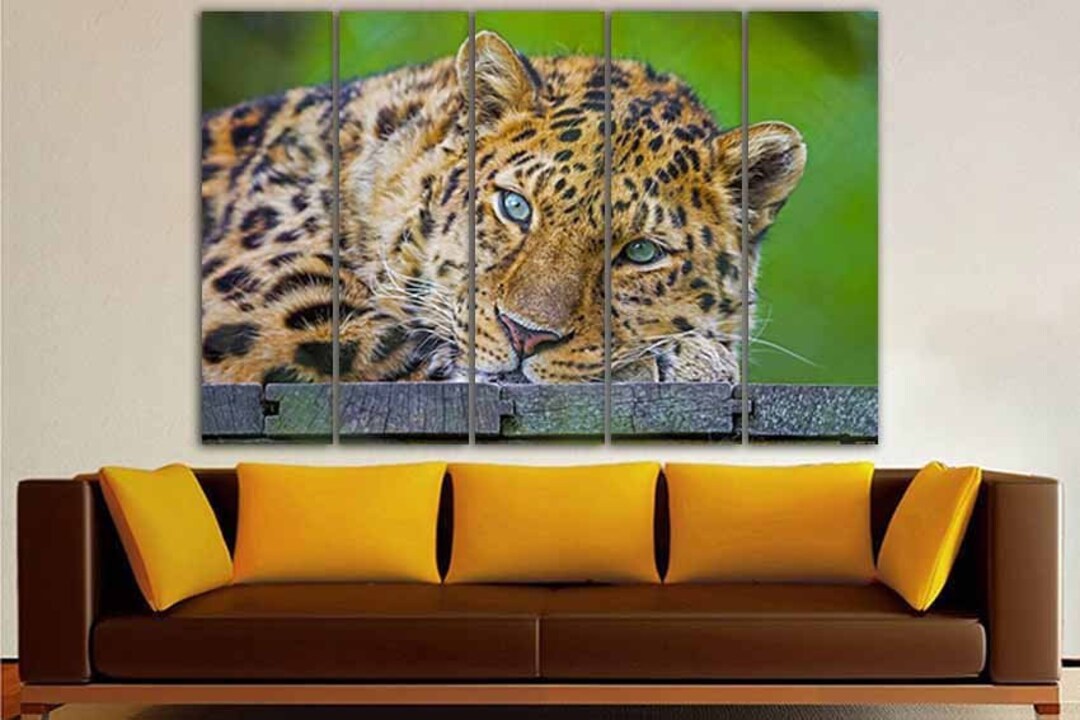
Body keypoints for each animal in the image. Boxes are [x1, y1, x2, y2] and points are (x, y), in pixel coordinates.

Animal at [200, 31, 806, 386]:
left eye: (640, 253)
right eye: (515, 207)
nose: (526, 335)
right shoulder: (253, 300)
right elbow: (389, 346)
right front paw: (672, 363)